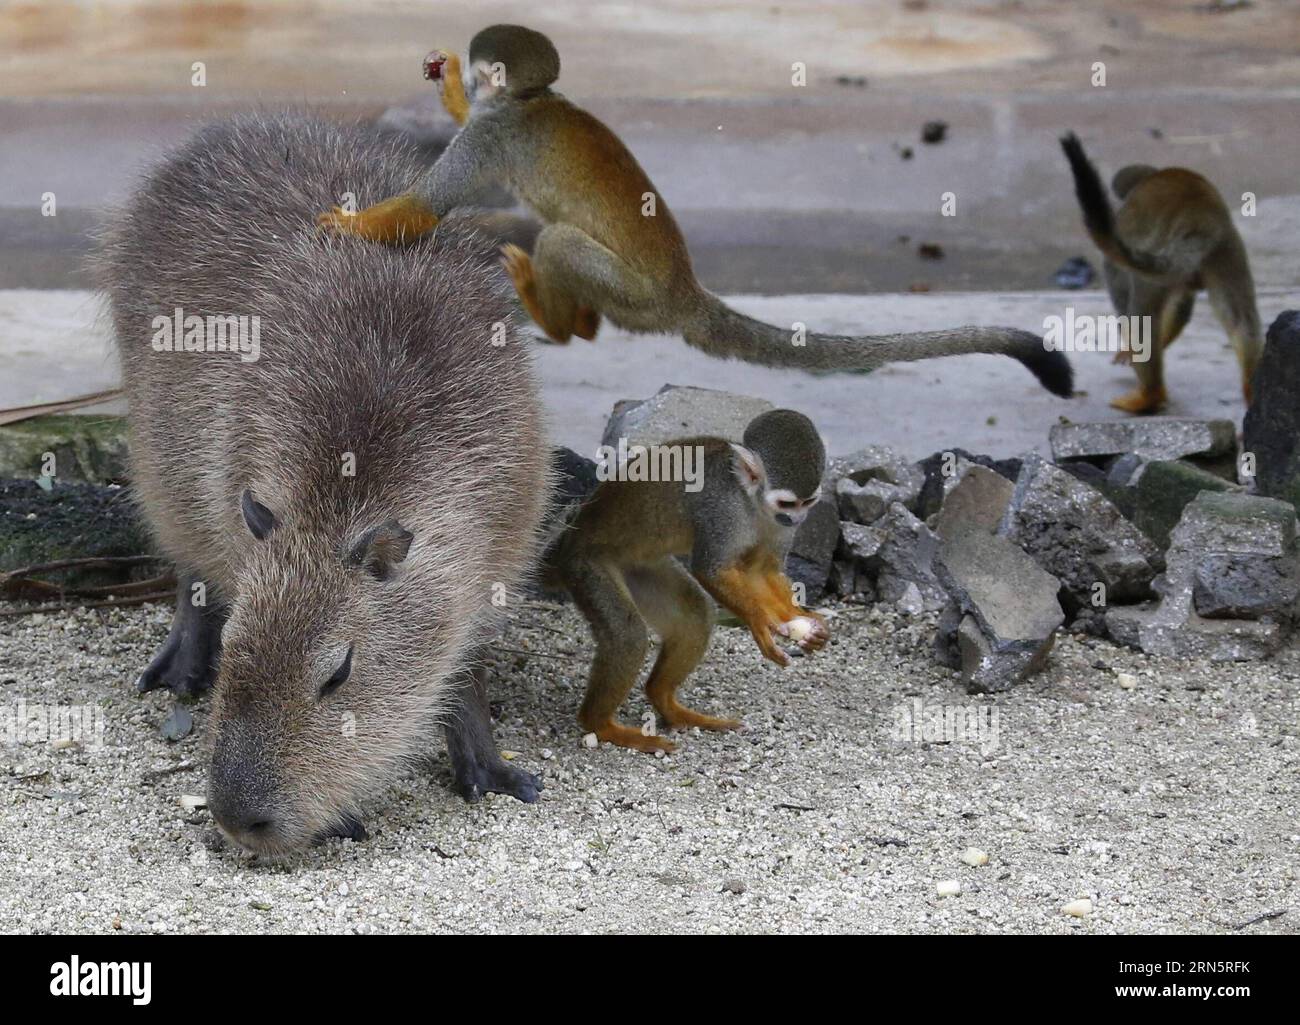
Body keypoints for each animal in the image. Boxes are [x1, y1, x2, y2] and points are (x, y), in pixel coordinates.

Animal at [317, 24, 1073, 398]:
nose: (468, 75)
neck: (531, 101)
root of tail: (685, 292)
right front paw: (445, 79)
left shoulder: (495, 133)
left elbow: (427, 205)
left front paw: (346, 224)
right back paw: (578, 324)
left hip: (638, 295)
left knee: (559, 241)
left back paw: (555, 317)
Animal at [544, 409, 830, 754]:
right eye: (787, 504)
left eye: (808, 502)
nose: (797, 520)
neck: (751, 501)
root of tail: (570, 541)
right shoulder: (720, 510)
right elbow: (711, 569)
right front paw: (759, 622)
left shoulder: (776, 526)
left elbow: (763, 569)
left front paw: (799, 619)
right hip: (586, 566)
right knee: (629, 635)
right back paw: (601, 725)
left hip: (637, 566)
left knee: (694, 614)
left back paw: (665, 702)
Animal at [1060, 133, 1262, 414]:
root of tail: (1201, 223)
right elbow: (1183, 309)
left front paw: (1130, 350)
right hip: (1226, 249)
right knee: (1241, 319)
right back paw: (1252, 387)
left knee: (1140, 310)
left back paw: (1150, 395)